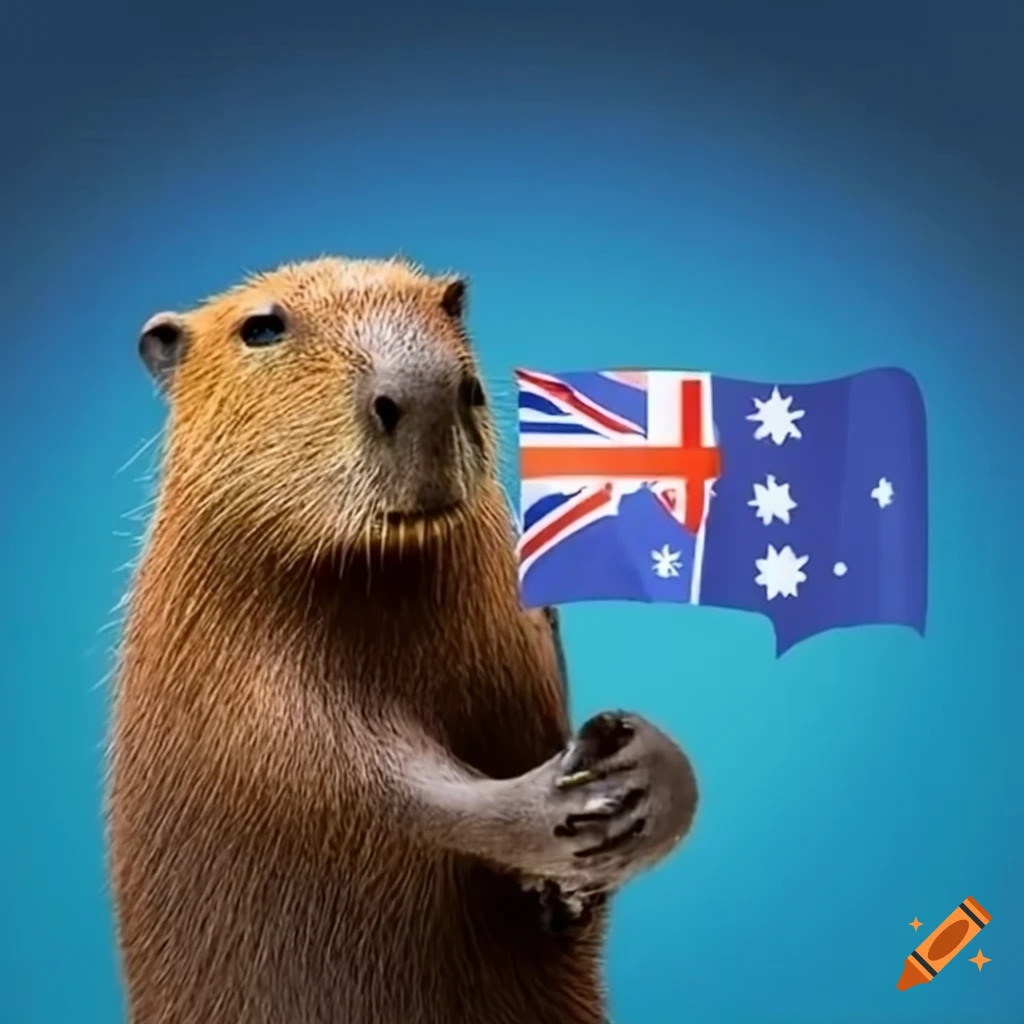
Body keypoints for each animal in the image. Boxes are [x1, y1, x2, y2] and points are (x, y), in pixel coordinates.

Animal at [107, 256, 698, 1024]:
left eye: (451, 305)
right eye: (261, 327)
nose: (431, 390)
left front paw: (642, 777)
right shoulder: (237, 688)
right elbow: (371, 783)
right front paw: (585, 801)